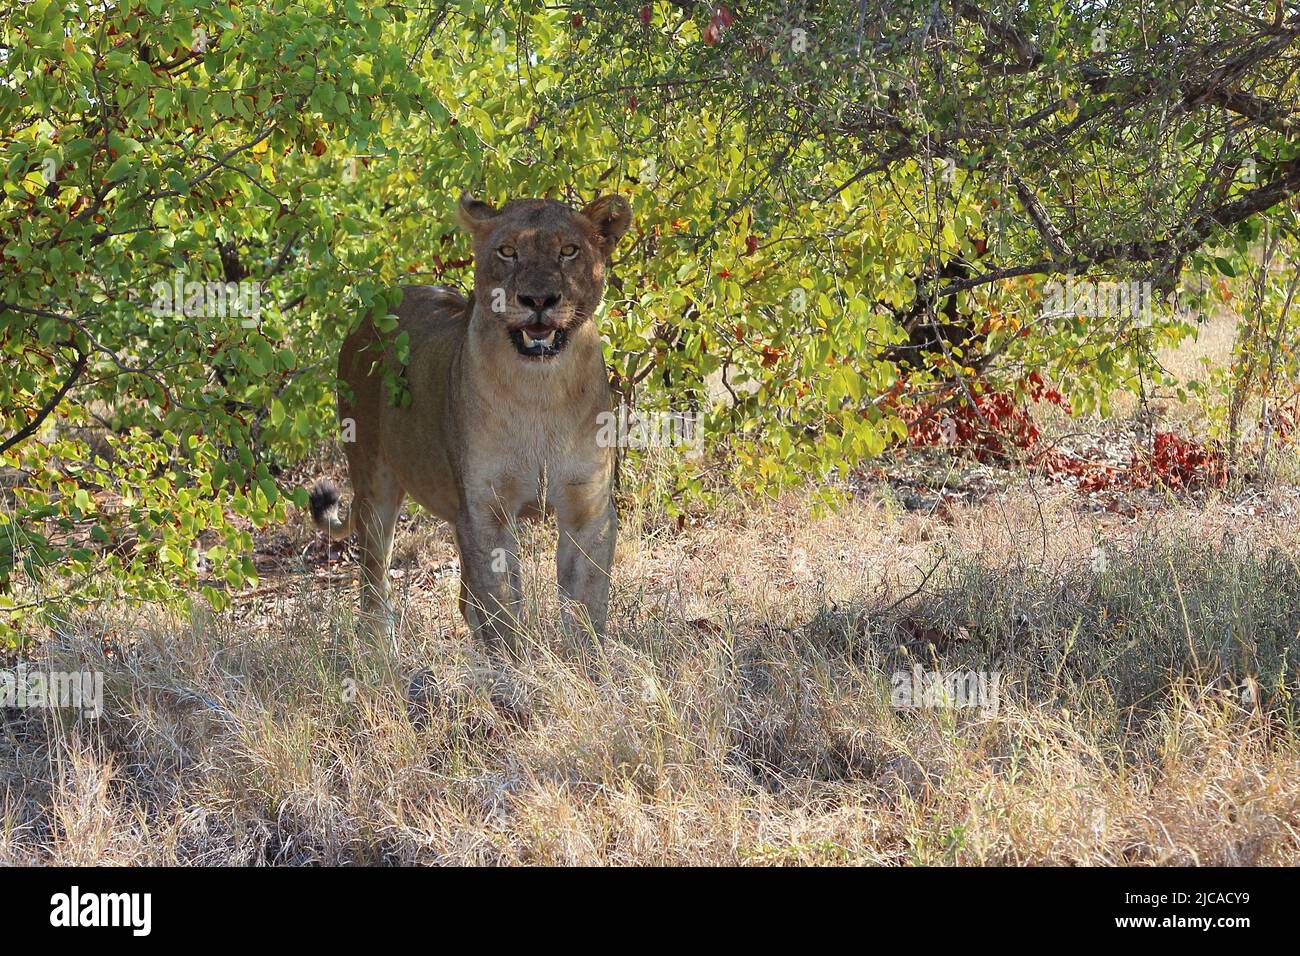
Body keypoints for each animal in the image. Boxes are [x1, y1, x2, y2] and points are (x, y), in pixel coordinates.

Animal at [308, 191, 633, 654]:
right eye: (508, 251)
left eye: (569, 251)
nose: (538, 300)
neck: (540, 389)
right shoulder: (485, 509)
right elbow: (500, 604)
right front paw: (511, 667)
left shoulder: (586, 507)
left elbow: (586, 603)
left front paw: (585, 665)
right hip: (373, 481)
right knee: (373, 579)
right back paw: (381, 653)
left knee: (462, 596)